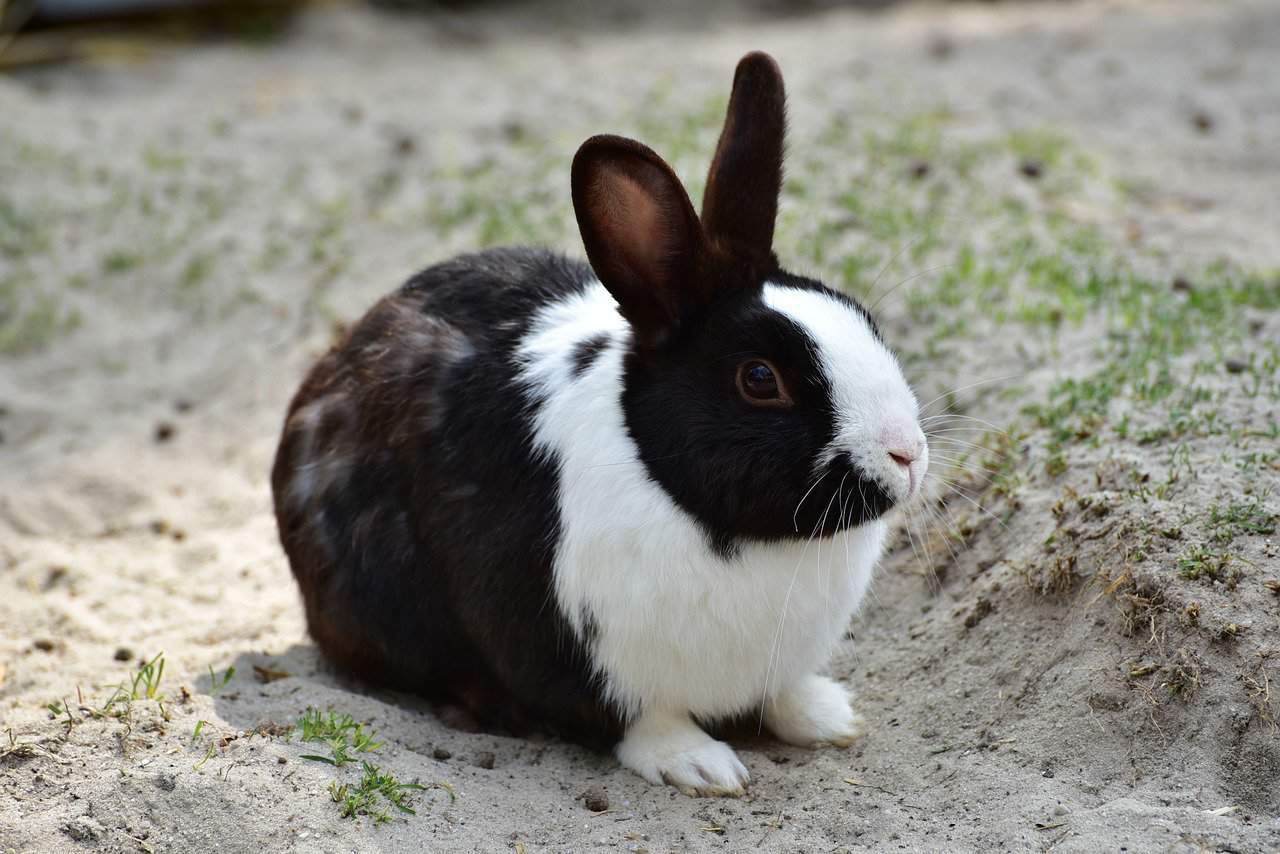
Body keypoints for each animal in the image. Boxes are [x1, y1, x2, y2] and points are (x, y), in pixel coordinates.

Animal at [271, 51, 928, 796]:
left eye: (862, 317)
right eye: (761, 379)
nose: (907, 453)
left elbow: (783, 692)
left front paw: (828, 717)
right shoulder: (566, 645)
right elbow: (638, 719)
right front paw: (702, 766)